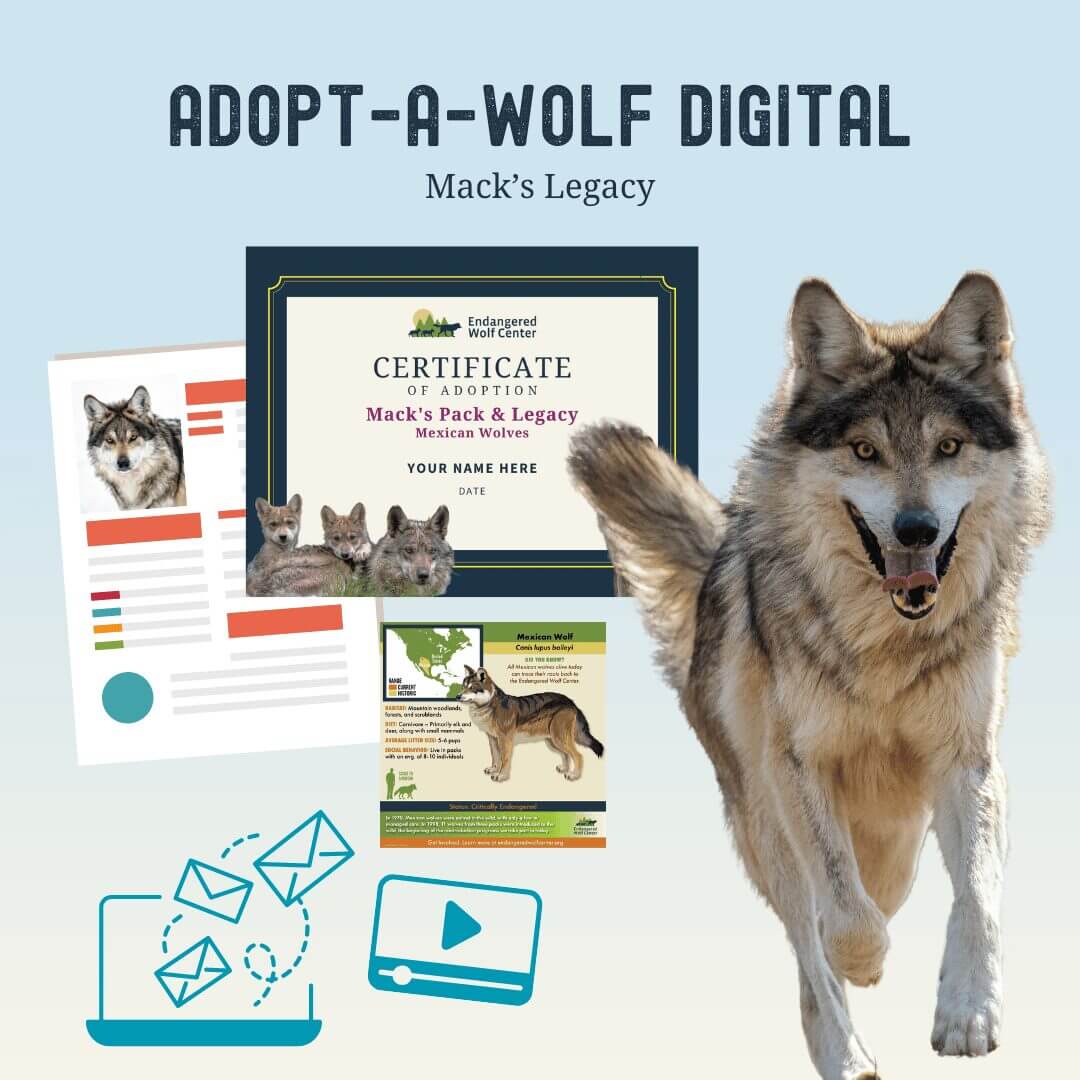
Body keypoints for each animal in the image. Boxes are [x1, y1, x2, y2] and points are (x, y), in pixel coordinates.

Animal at [457, 665, 604, 782]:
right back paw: (564, 768)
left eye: (472, 688)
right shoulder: (493, 739)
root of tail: (571, 702)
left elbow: (504, 760)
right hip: (552, 741)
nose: (457, 696)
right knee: (566, 754)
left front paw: (501, 776)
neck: (489, 705)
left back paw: (573, 775)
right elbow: (495, 757)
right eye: (463, 687)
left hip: (559, 739)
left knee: (578, 756)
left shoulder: (505, 740)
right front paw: (493, 769)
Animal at [568, 273, 1050, 1079]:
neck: (887, 646)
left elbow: (977, 895)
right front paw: (865, 964)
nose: (916, 530)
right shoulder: (799, 767)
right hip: (765, 823)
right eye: (865, 450)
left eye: (948, 446)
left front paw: (969, 1012)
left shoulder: (970, 764)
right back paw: (846, 1055)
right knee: (808, 950)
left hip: (895, 843)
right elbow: (844, 921)